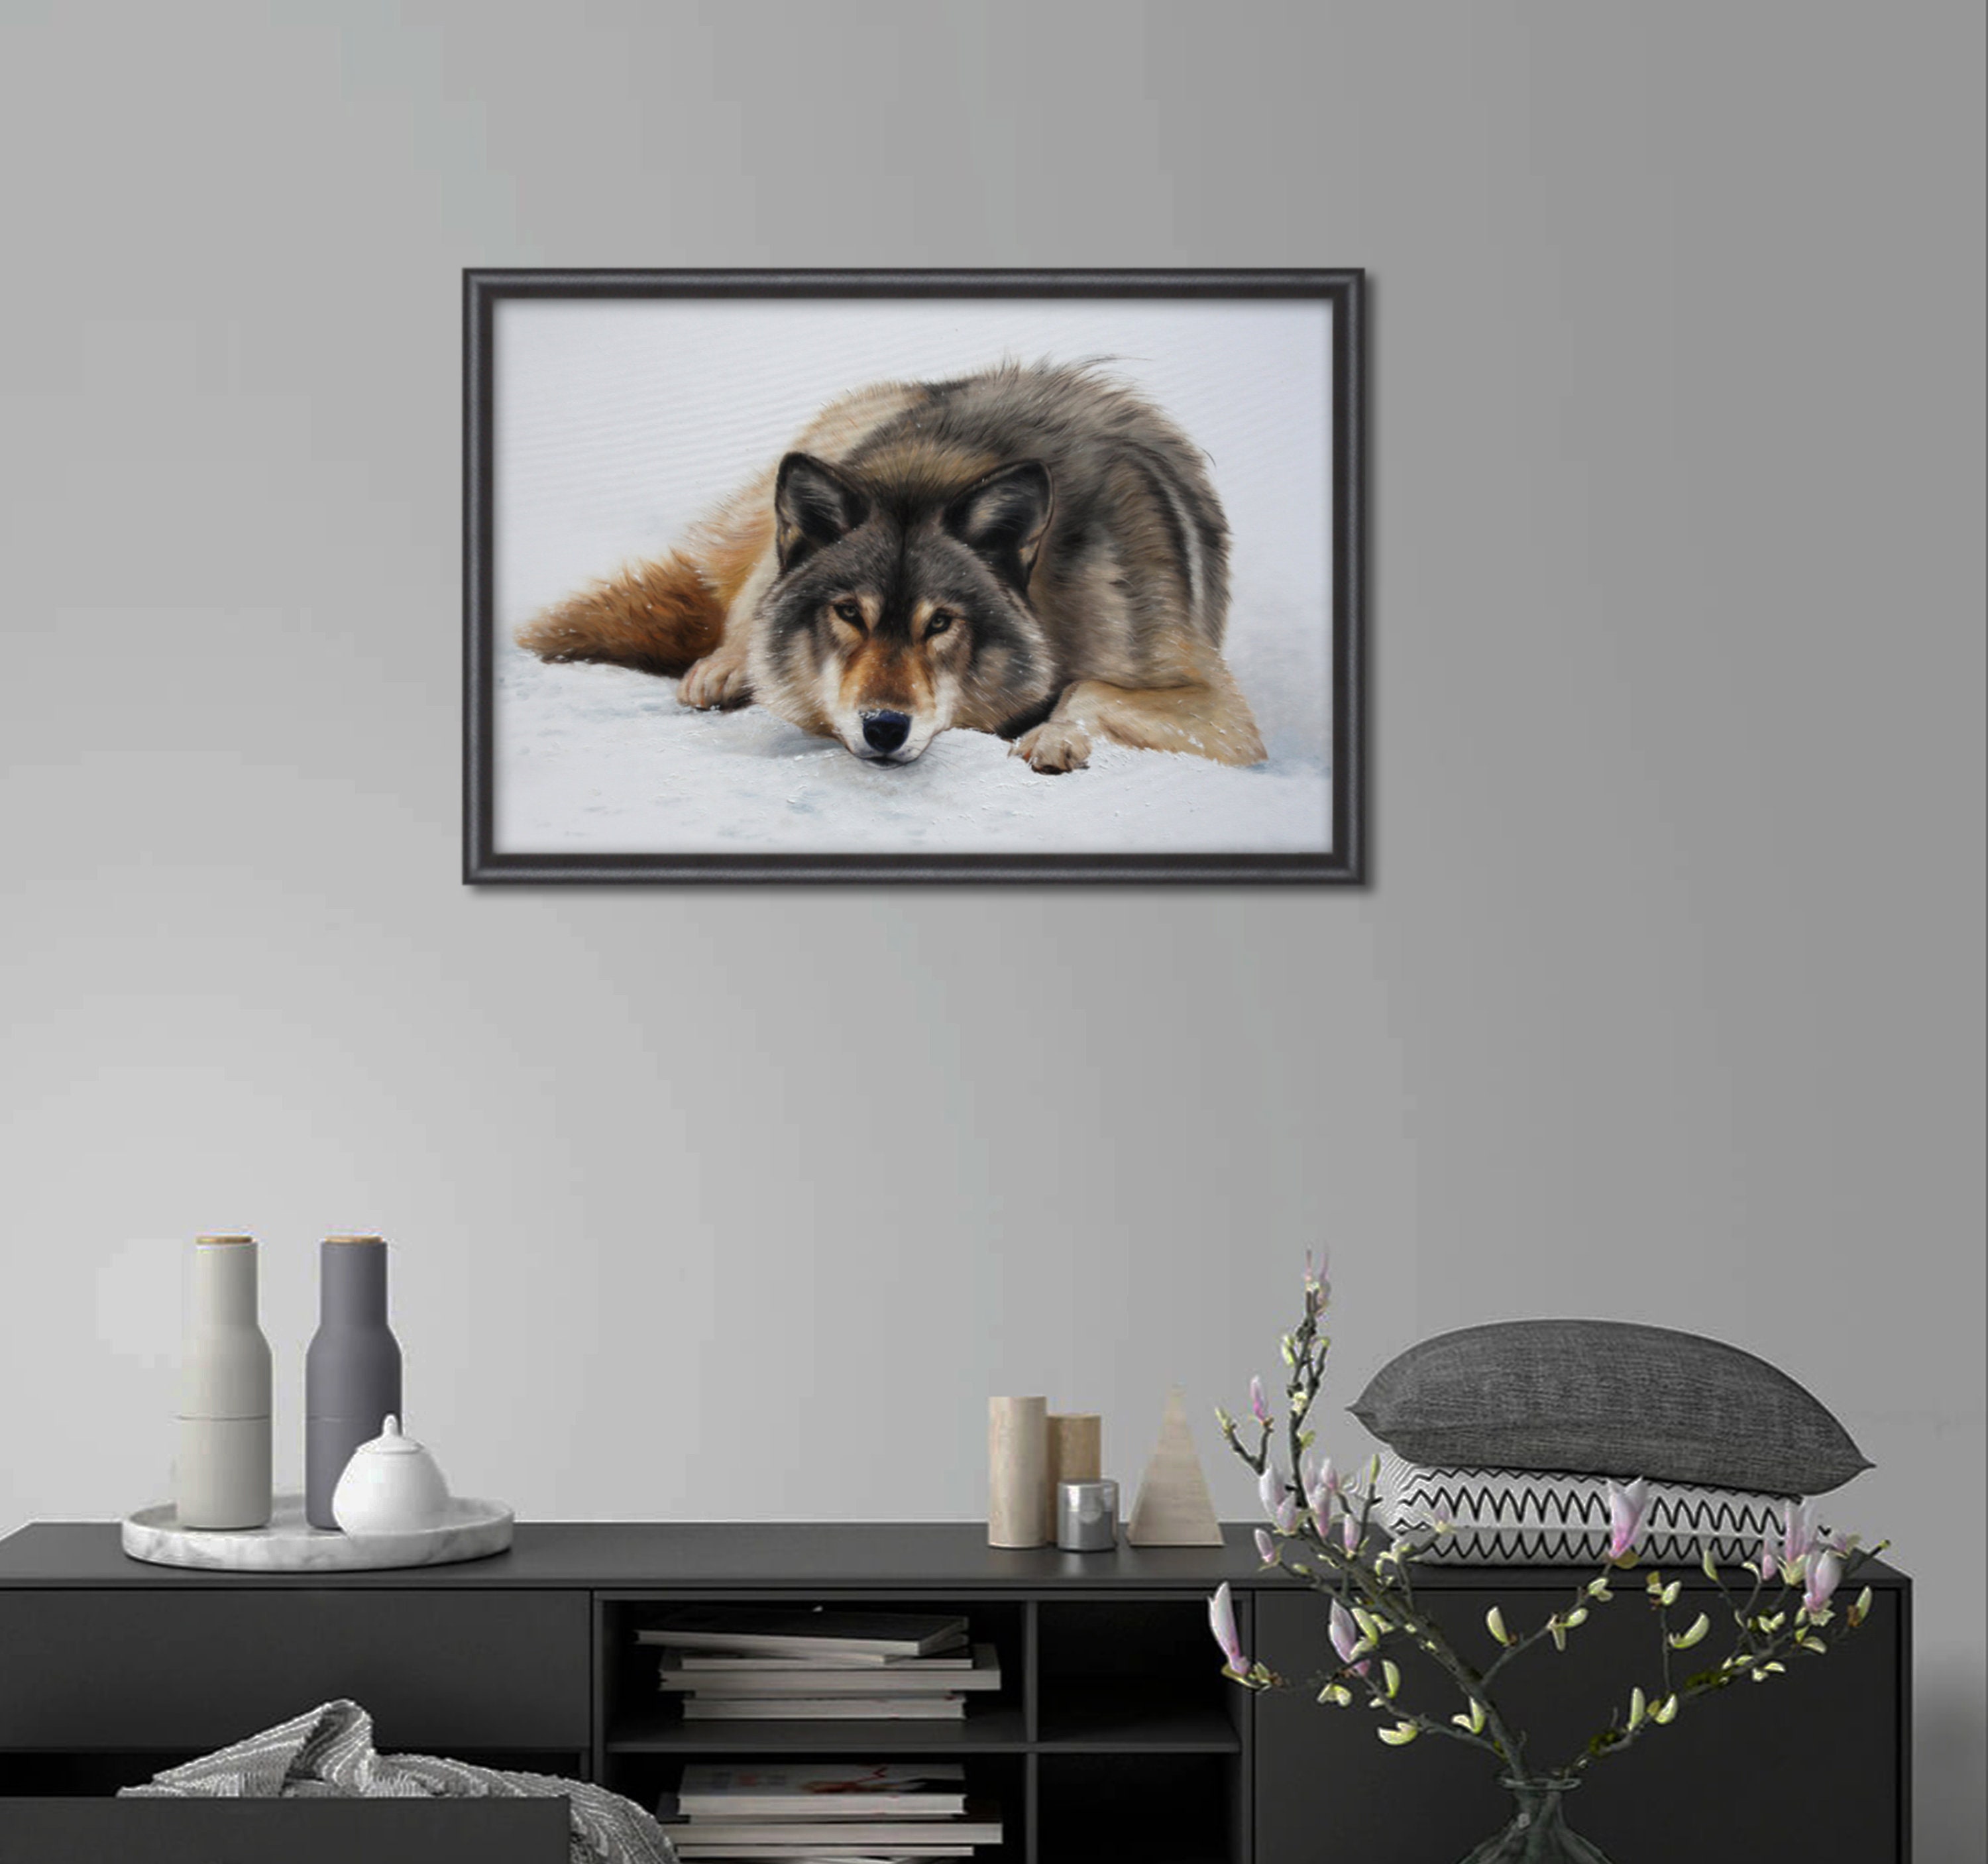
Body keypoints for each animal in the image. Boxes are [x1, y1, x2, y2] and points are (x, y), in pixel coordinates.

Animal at [515, 361, 1264, 773]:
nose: (883, 727)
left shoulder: (1224, 712)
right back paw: (723, 668)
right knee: (745, 603)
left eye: (941, 624)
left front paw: (1054, 734)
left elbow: (1087, 690)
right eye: (849, 613)